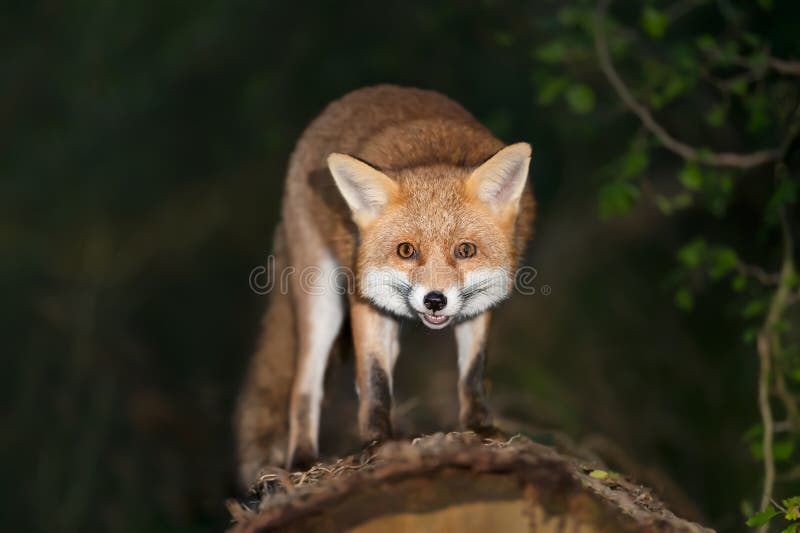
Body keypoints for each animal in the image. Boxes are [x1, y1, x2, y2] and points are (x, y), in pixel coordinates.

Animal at [236, 84, 535, 485]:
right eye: (406, 250)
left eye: (465, 251)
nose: (435, 301)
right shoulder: (364, 299)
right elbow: (374, 381)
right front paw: (377, 443)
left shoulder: (477, 303)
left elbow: (471, 373)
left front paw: (480, 429)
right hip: (322, 301)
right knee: (304, 388)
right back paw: (302, 462)